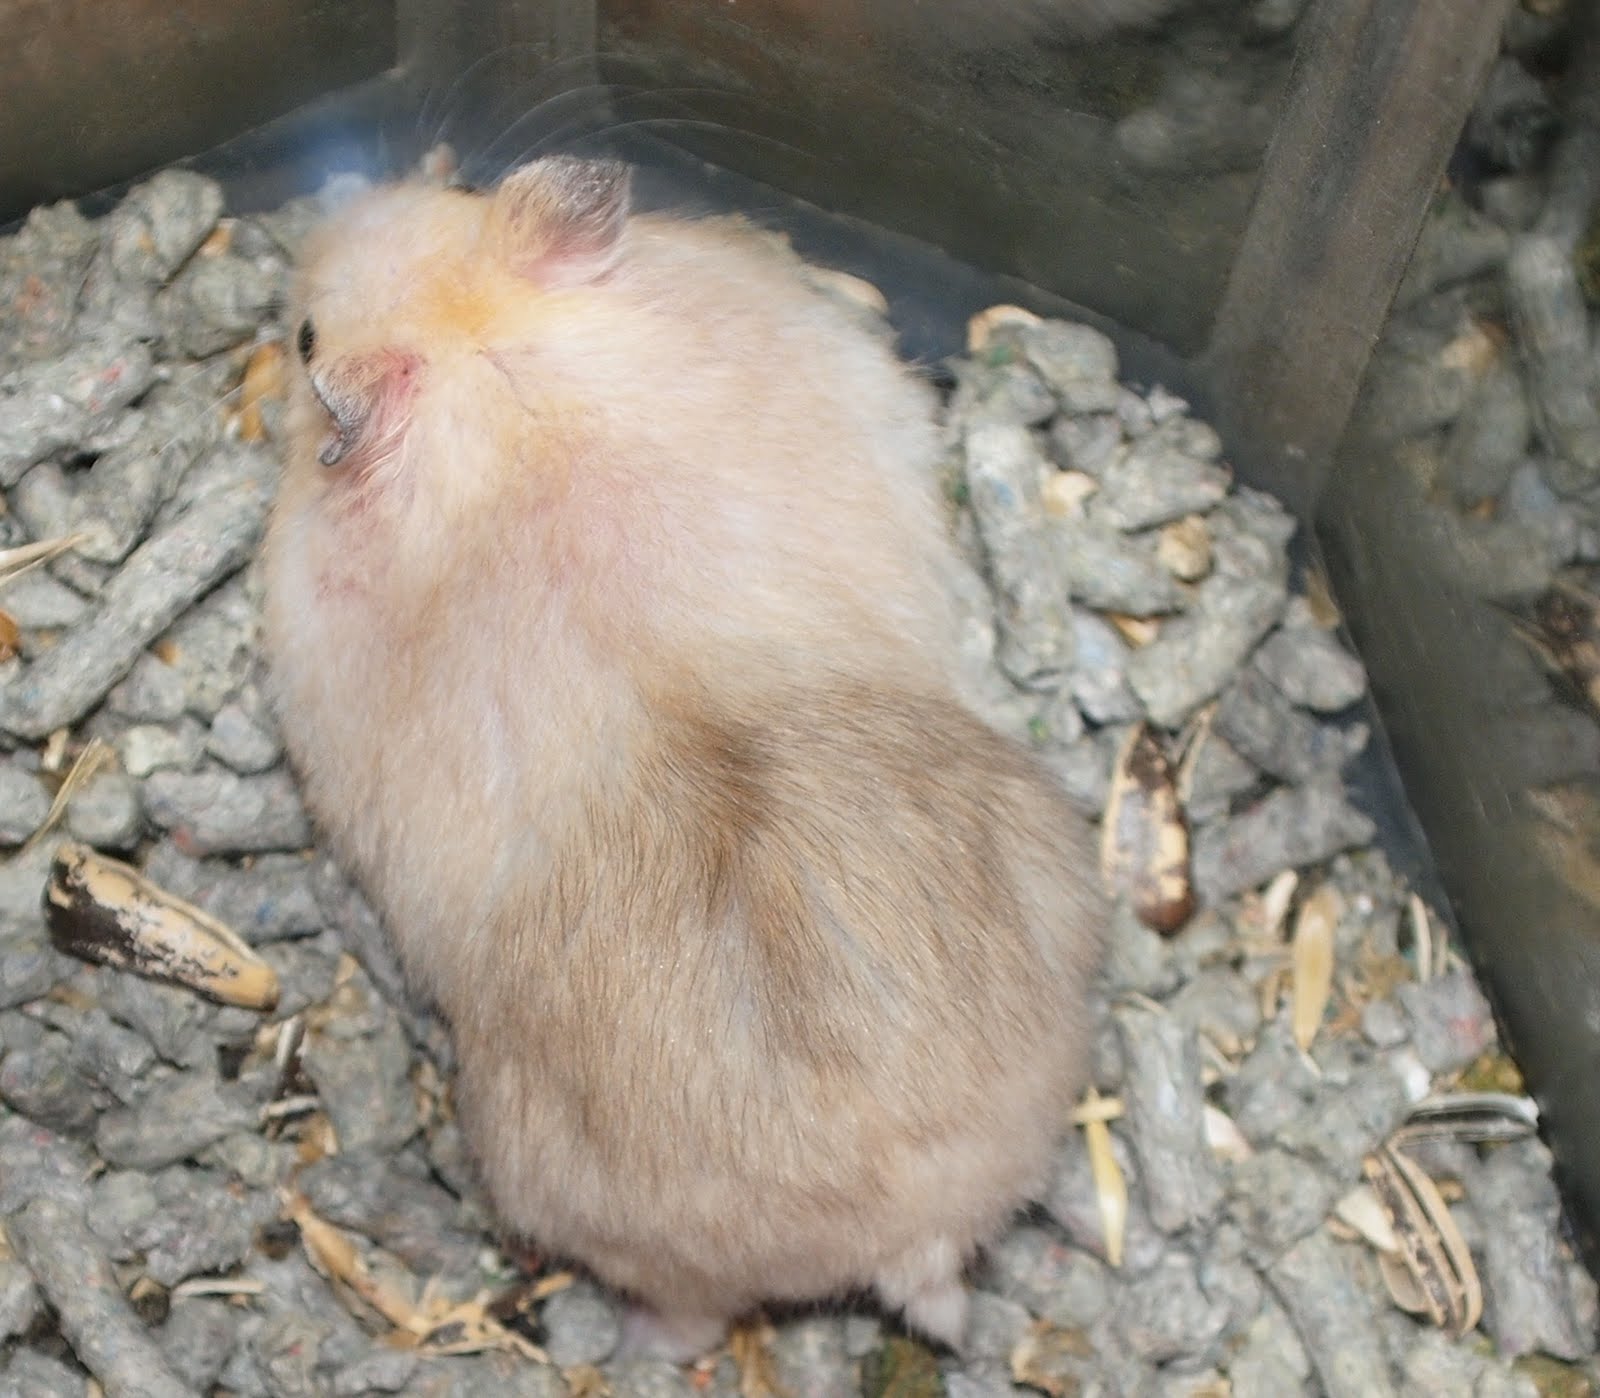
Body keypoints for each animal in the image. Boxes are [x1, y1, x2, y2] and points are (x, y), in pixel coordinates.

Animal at [262, 155, 1106, 1358]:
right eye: (463, 194)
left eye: (302, 336)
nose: (325, 215)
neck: (501, 395)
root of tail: (917, 1224)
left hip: (572, 1190)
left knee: (690, 1318)